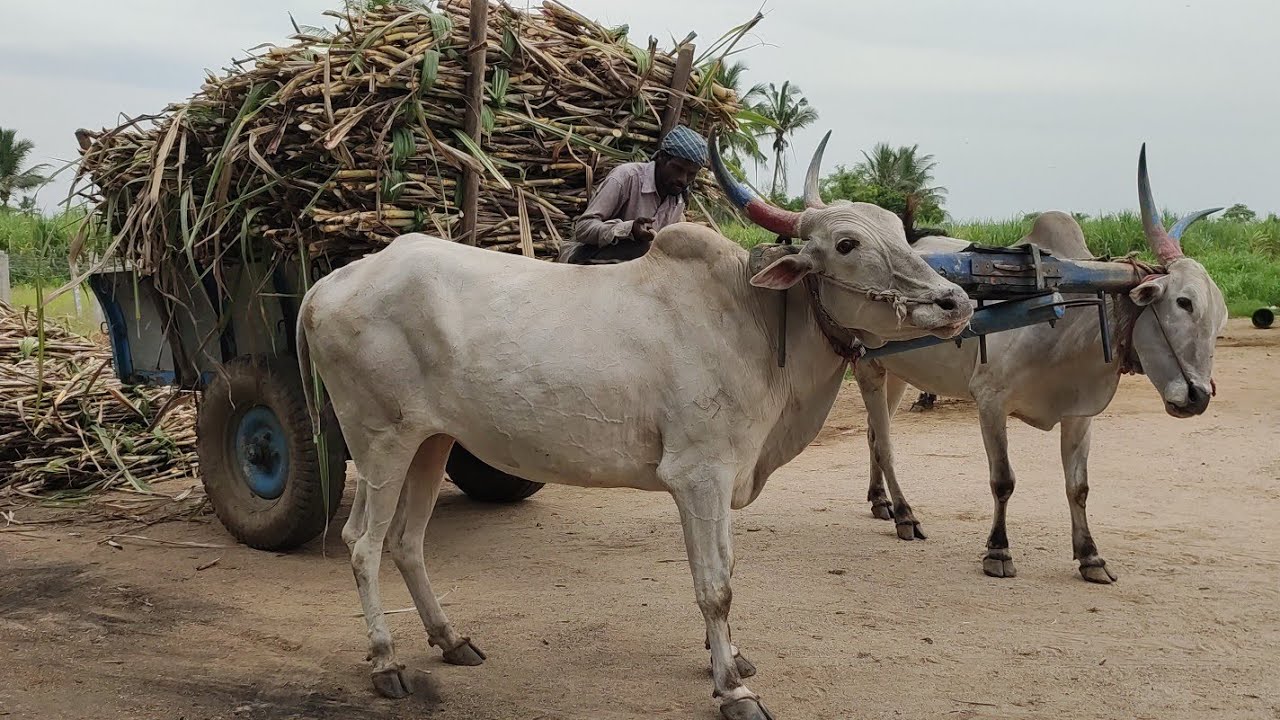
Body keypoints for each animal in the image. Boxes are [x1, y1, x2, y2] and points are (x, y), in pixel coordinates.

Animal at [295, 134, 973, 720]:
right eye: (847, 244)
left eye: (899, 233)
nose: (955, 301)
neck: (754, 316)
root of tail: (330, 283)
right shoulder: (698, 475)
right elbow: (715, 586)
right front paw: (733, 691)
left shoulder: (723, 477)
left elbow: (728, 571)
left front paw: (732, 661)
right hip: (380, 441)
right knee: (362, 543)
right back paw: (385, 663)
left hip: (431, 442)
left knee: (407, 542)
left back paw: (450, 638)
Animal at [846, 145, 1227, 584]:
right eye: (1183, 303)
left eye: (1221, 318)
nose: (1198, 397)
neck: (1069, 317)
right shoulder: (991, 402)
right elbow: (1003, 481)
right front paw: (998, 551)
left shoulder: (1079, 415)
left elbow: (1078, 487)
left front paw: (1091, 557)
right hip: (868, 367)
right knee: (884, 443)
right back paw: (905, 515)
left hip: (896, 373)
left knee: (873, 435)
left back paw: (881, 502)